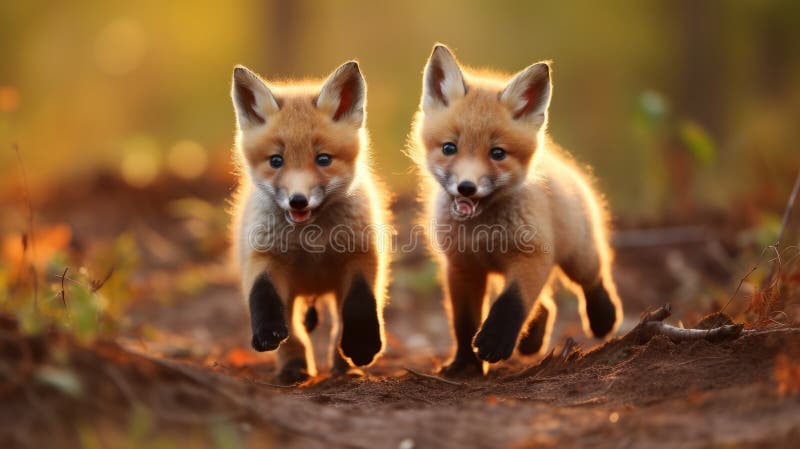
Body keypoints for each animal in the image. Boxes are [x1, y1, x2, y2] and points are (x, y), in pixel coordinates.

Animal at [230, 61, 390, 384]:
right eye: (276, 161)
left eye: (323, 159)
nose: (298, 200)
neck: (312, 240)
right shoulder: (264, 256)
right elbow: (261, 294)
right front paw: (266, 331)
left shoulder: (361, 256)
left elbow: (360, 306)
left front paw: (363, 346)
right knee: (296, 335)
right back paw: (294, 367)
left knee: (337, 328)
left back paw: (346, 367)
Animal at [410, 44, 623, 377]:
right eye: (449, 148)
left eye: (498, 153)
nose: (466, 187)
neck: (482, 232)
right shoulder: (461, 266)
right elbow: (464, 322)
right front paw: (466, 364)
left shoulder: (532, 254)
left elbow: (514, 300)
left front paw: (495, 340)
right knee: (546, 305)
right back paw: (532, 342)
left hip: (578, 255)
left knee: (593, 279)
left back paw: (603, 318)